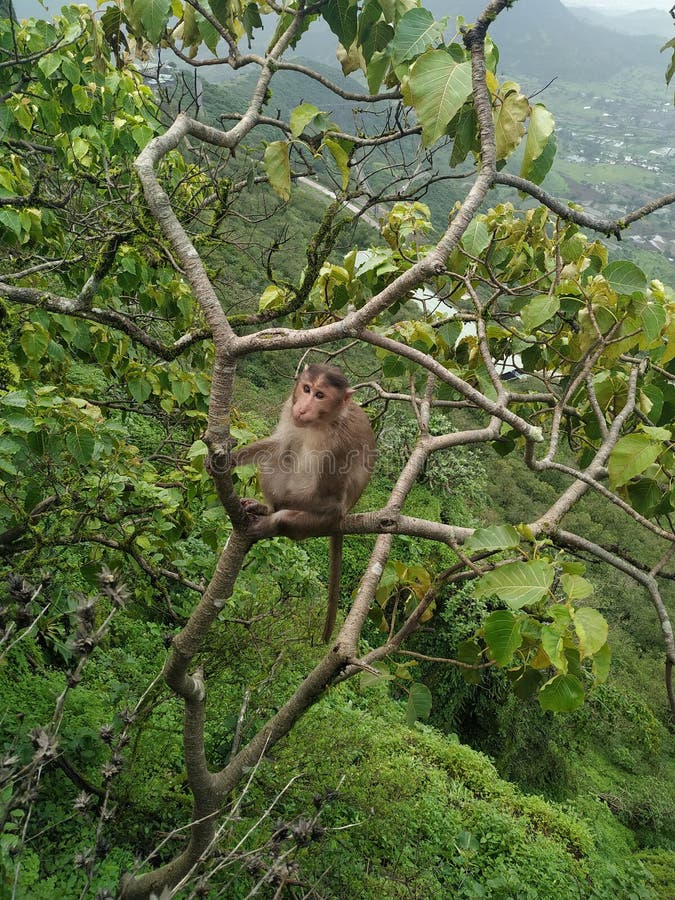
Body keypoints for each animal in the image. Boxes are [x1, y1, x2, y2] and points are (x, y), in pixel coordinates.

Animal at [227, 364, 376, 643]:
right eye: (306, 389)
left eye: (320, 395)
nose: (303, 408)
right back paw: (264, 508)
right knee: (283, 451)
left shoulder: (338, 445)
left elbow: (330, 499)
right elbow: (279, 442)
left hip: (320, 522)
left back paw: (268, 520)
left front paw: (272, 510)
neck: (322, 422)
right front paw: (229, 459)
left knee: (292, 515)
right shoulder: (289, 407)